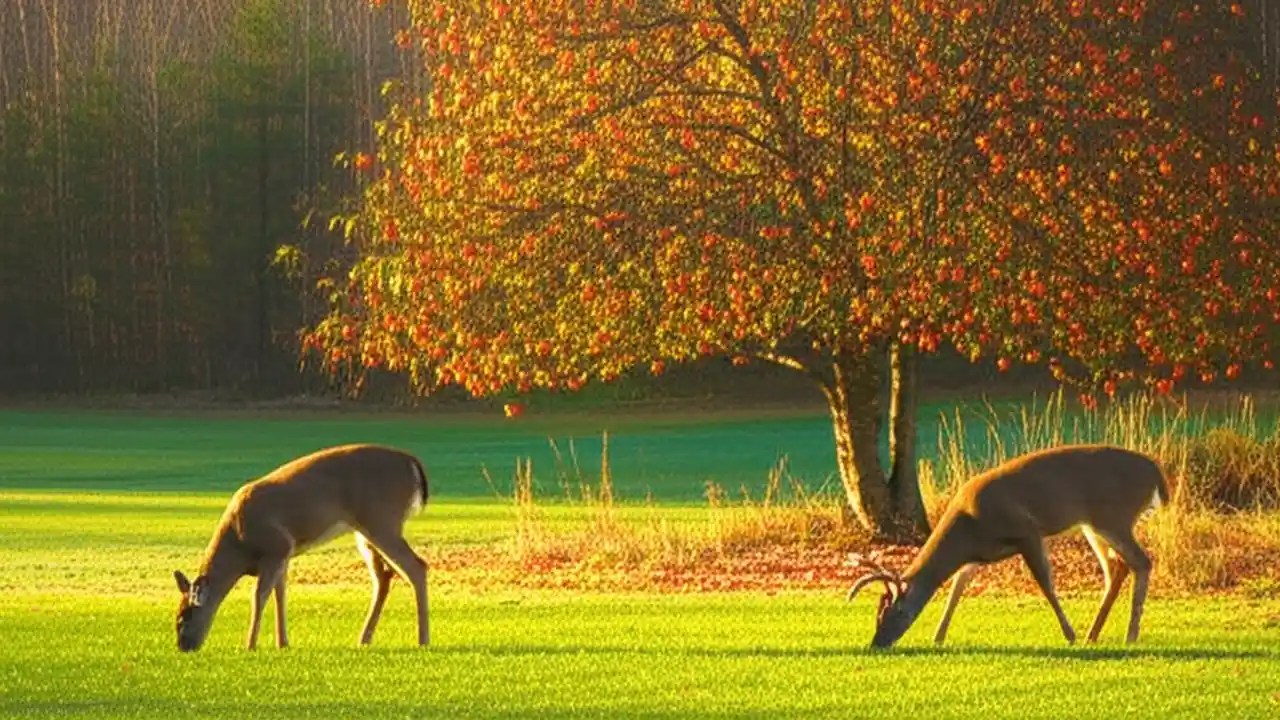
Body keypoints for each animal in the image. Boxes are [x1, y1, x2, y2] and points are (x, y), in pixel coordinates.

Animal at [172, 444, 430, 652]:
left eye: (184, 617)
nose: (183, 647)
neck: (239, 546)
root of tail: (412, 464)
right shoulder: (284, 556)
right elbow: (280, 594)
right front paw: (282, 643)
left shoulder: (277, 546)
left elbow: (258, 595)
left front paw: (250, 645)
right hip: (364, 531)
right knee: (383, 577)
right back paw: (364, 639)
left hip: (382, 518)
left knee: (416, 566)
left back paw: (423, 640)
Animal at [847, 444, 1169, 649]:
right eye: (877, 611)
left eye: (897, 612)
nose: (877, 643)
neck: (968, 529)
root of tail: (1156, 473)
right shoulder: (975, 556)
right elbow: (956, 589)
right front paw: (938, 637)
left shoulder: (1027, 531)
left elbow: (1045, 584)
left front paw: (1069, 635)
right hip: (1094, 524)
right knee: (1117, 568)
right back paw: (1095, 634)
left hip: (1114, 516)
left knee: (1141, 562)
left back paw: (1128, 635)